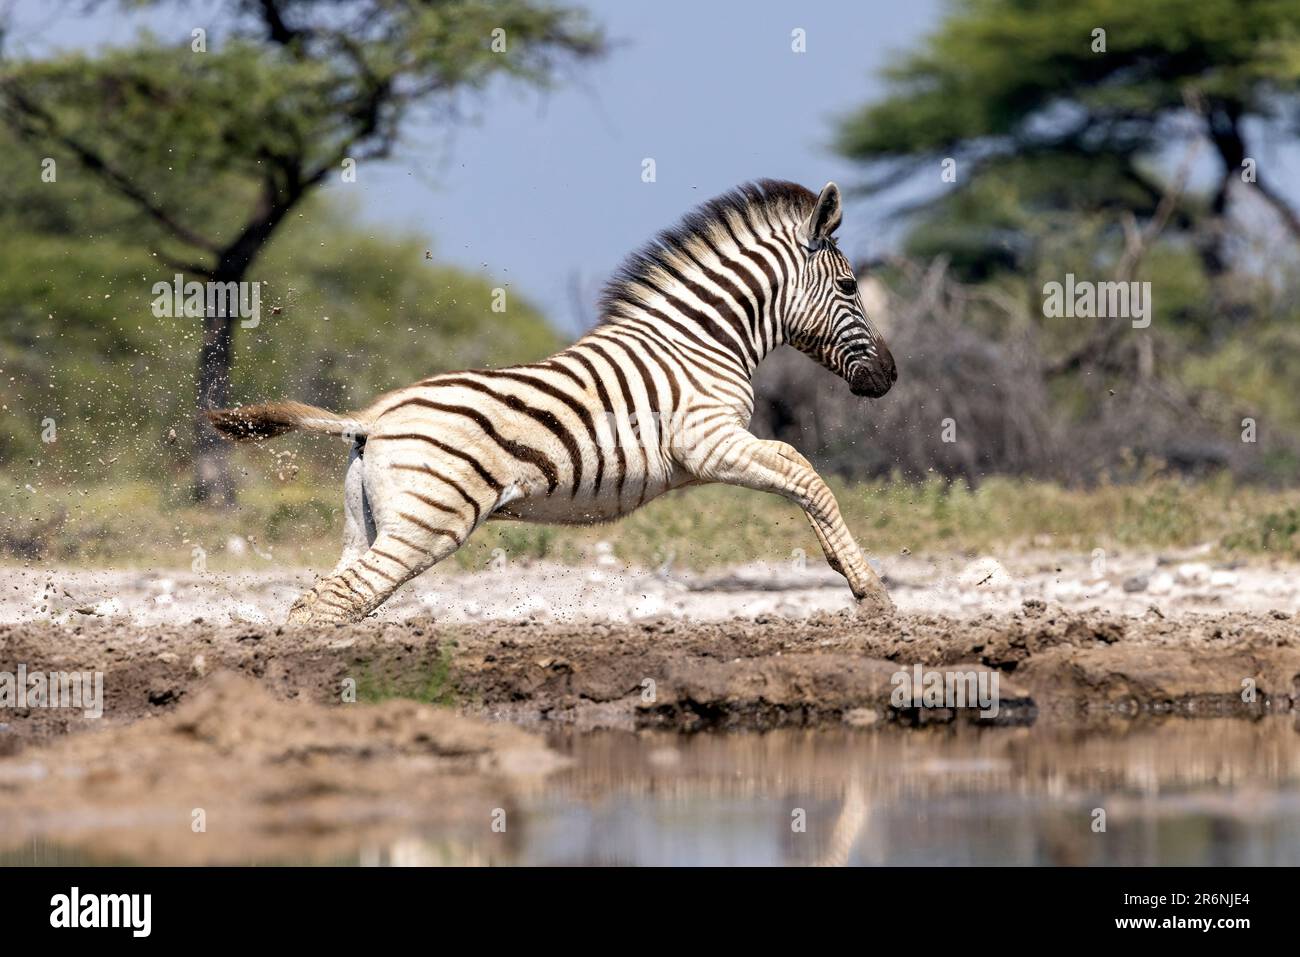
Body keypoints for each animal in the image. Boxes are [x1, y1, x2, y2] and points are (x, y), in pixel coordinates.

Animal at [209, 179, 897, 625]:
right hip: (429, 522)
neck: (696, 339)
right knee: (336, 603)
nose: (889, 377)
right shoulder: (708, 442)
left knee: (320, 598)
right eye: (849, 286)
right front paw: (872, 594)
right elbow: (805, 475)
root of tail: (371, 419)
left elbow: (802, 478)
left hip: (371, 524)